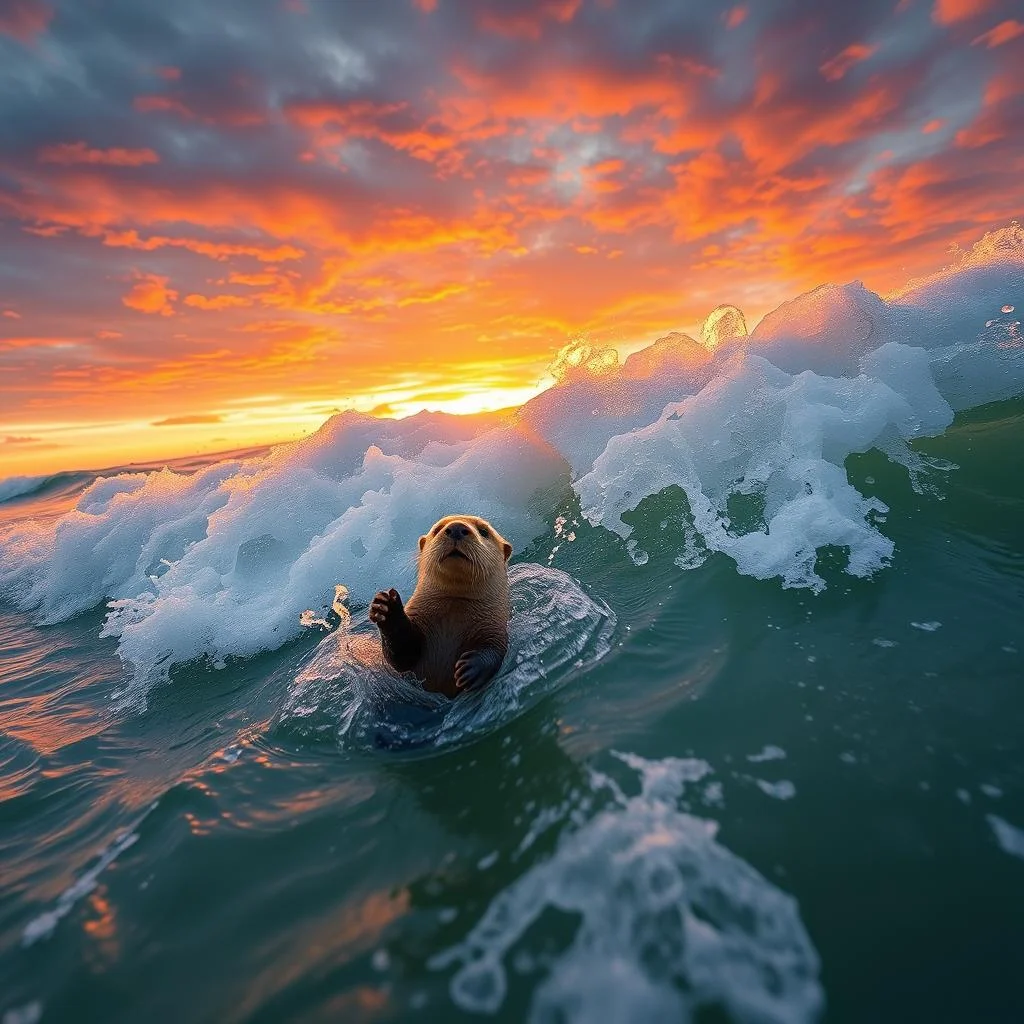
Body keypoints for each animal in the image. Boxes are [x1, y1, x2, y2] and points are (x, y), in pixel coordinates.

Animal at [368, 514, 513, 698]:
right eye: (437, 529)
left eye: (484, 531)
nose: (457, 528)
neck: (451, 620)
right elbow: (400, 656)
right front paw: (387, 608)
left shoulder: (495, 627)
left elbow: (495, 650)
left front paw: (469, 670)